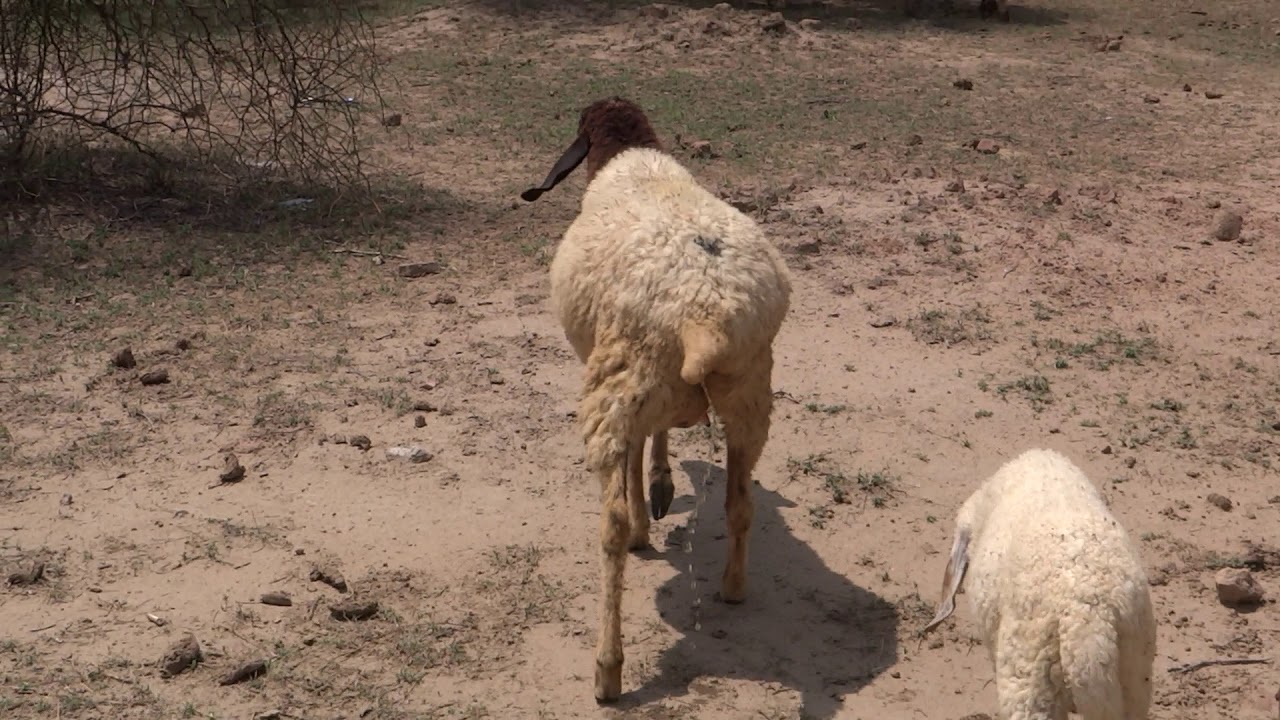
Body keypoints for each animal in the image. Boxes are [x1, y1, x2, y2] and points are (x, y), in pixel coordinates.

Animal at [520, 96, 793, 703]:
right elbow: (660, 434)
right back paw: (733, 587)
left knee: (611, 527)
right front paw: (664, 486)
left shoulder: (630, 389)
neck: (633, 159)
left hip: (618, 384)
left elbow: (637, 460)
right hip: (750, 394)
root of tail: (704, 319)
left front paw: (649, 514)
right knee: (740, 503)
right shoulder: (661, 396)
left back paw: (608, 669)